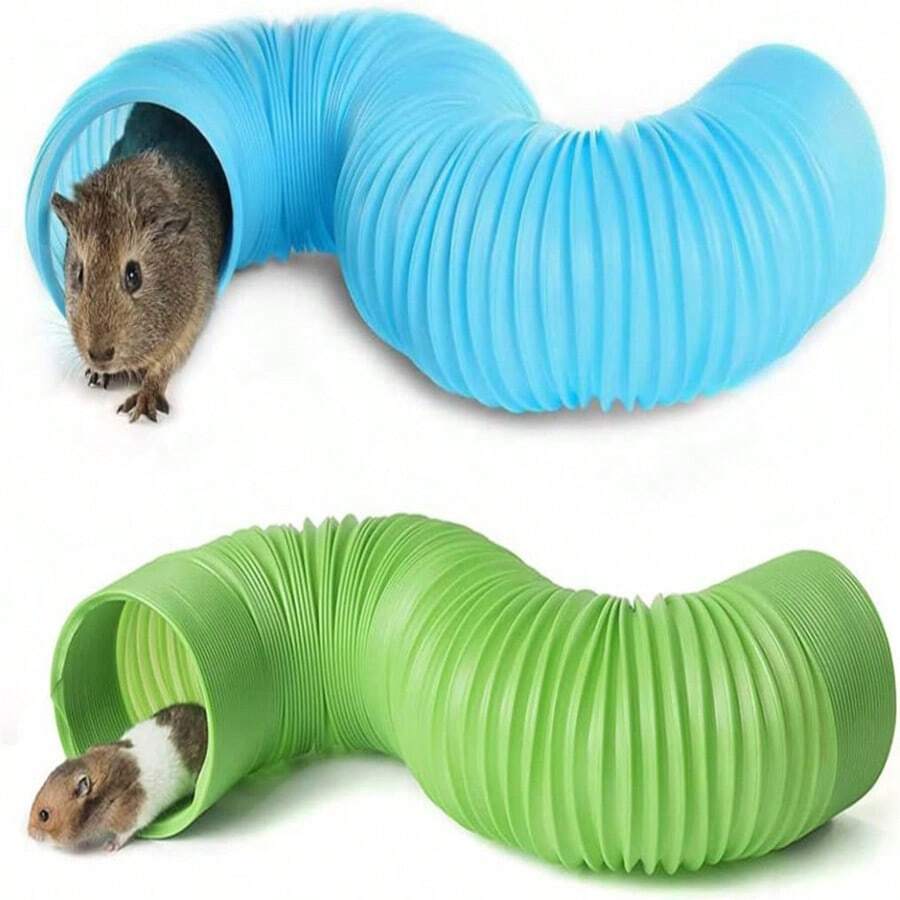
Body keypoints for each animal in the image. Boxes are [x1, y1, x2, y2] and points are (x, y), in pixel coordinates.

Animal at [28, 704, 207, 852]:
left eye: (44, 815)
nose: (28, 833)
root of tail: (203, 712)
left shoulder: (131, 815)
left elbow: (124, 833)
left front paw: (108, 847)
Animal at [51, 103, 229, 422]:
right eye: (79, 274)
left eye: (134, 275)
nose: (99, 355)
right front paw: (96, 376)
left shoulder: (194, 317)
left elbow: (164, 365)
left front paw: (141, 408)